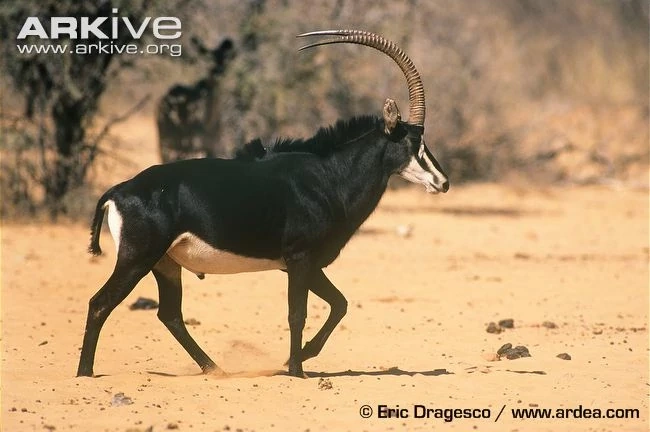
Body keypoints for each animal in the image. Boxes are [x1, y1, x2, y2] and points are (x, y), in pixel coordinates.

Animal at [77, 30, 449, 378]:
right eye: (413, 143)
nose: (443, 182)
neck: (328, 175)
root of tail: (118, 191)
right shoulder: (299, 258)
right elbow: (297, 313)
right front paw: (296, 370)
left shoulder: (305, 264)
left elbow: (340, 304)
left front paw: (297, 359)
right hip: (137, 258)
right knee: (100, 303)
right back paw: (85, 373)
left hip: (165, 263)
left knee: (169, 314)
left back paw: (215, 369)